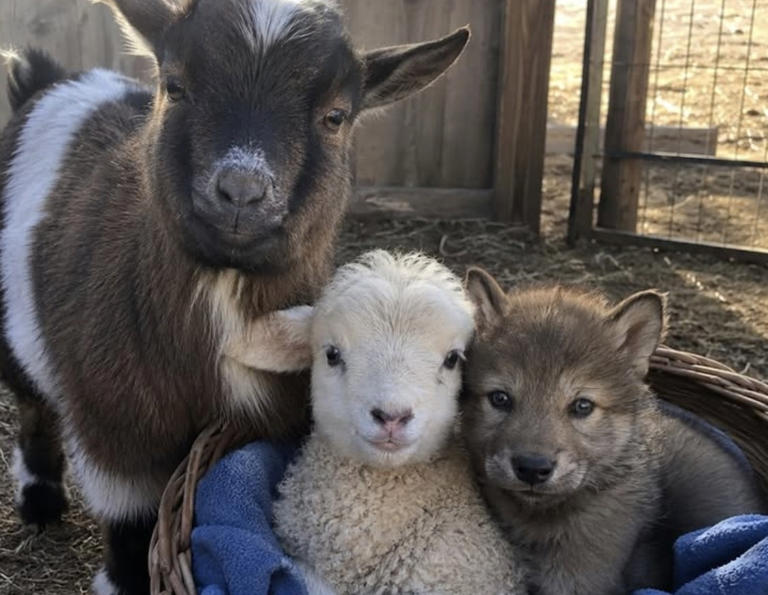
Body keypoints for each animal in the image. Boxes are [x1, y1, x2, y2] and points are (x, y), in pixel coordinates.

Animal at [0, 1, 469, 592]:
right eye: (175, 86)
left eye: (336, 115)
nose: (241, 190)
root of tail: (51, 81)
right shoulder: (114, 422)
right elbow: (131, 519)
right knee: (33, 407)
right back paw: (38, 501)